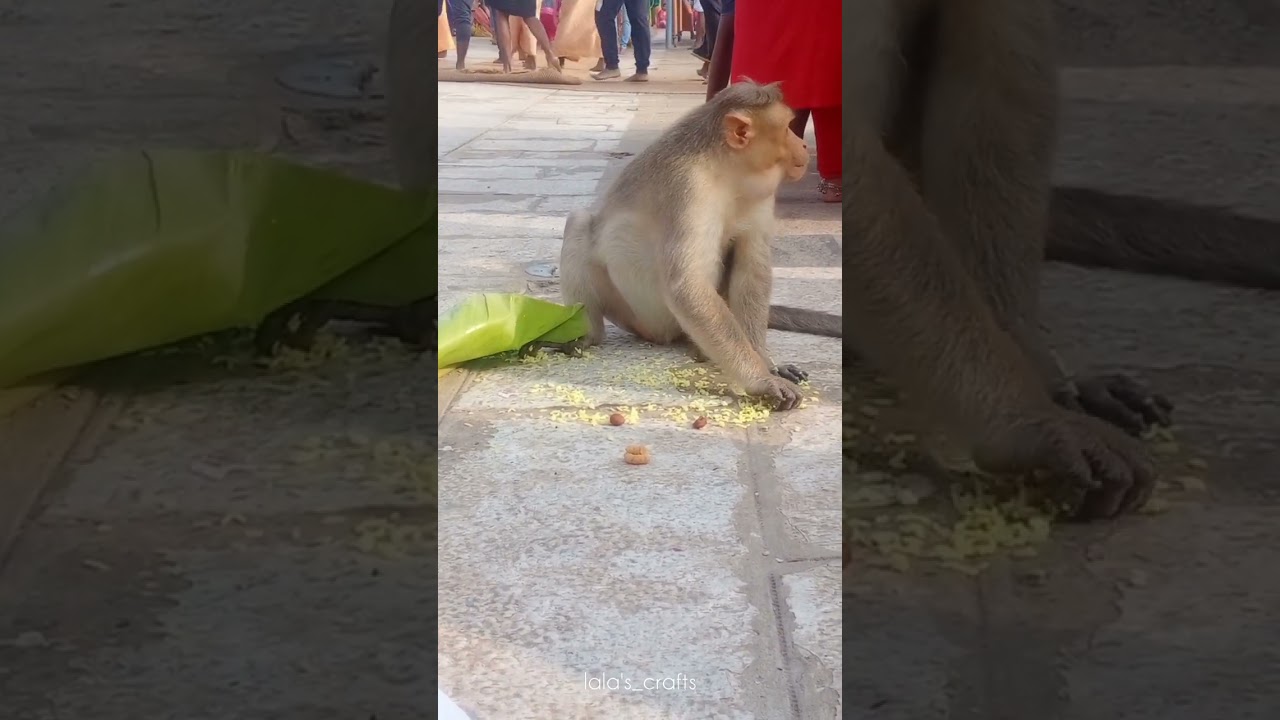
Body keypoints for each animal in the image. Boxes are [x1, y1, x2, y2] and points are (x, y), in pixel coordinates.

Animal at [558, 81, 825, 411]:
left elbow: (752, 268)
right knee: (579, 221)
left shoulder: (762, 192)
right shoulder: (687, 186)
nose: (803, 145)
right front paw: (762, 379)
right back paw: (588, 337)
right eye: (787, 128)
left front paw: (765, 363)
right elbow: (686, 285)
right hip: (639, 319)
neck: (725, 172)